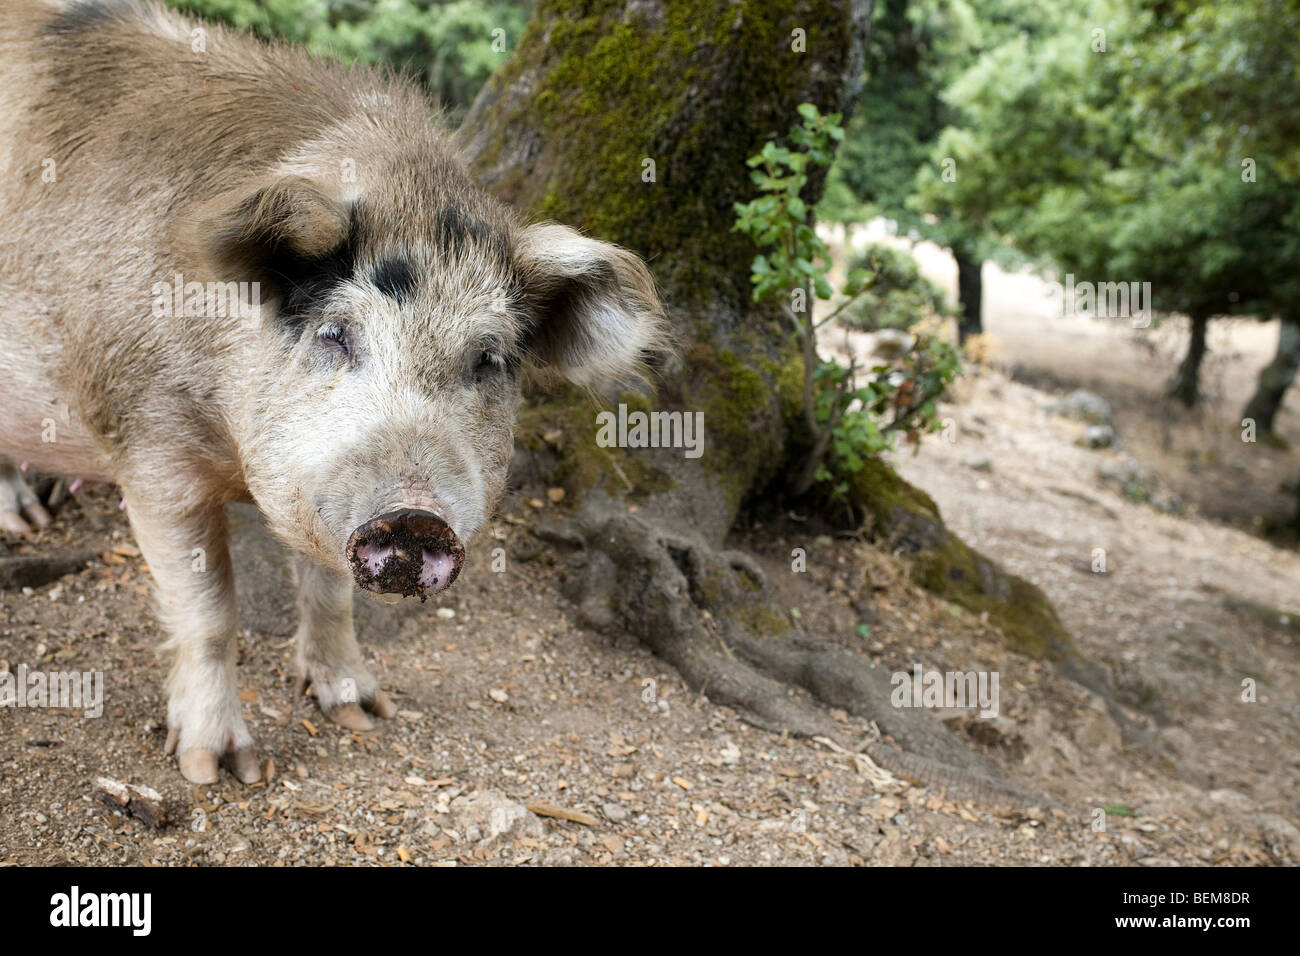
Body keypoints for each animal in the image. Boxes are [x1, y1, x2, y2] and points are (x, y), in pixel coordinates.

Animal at [0, 0, 668, 783]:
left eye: (489, 359)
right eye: (336, 334)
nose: (415, 517)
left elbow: (329, 591)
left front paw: (362, 713)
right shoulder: (145, 438)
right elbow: (210, 611)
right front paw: (220, 770)